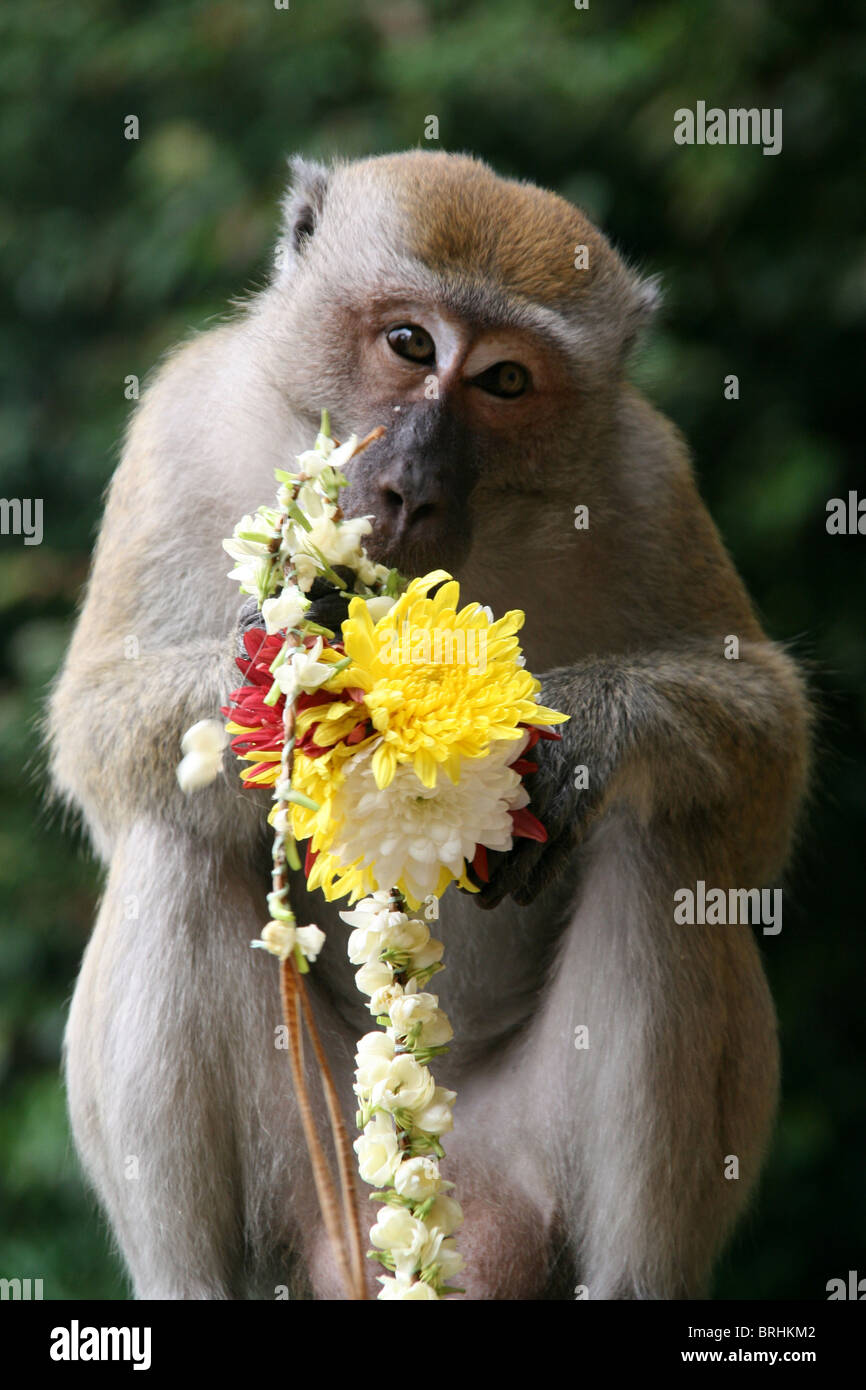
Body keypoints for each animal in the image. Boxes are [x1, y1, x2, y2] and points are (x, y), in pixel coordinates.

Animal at [47, 150, 811, 1300]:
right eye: (410, 344)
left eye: (505, 382)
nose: (410, 486)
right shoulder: (181, 428)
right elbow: (96, 726)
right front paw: (292, 668)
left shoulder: (644, 477)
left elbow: (762, 760)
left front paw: (587, 743)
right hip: (312, 1172)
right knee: (170, 838)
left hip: (522, 1168)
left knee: (662, 842)